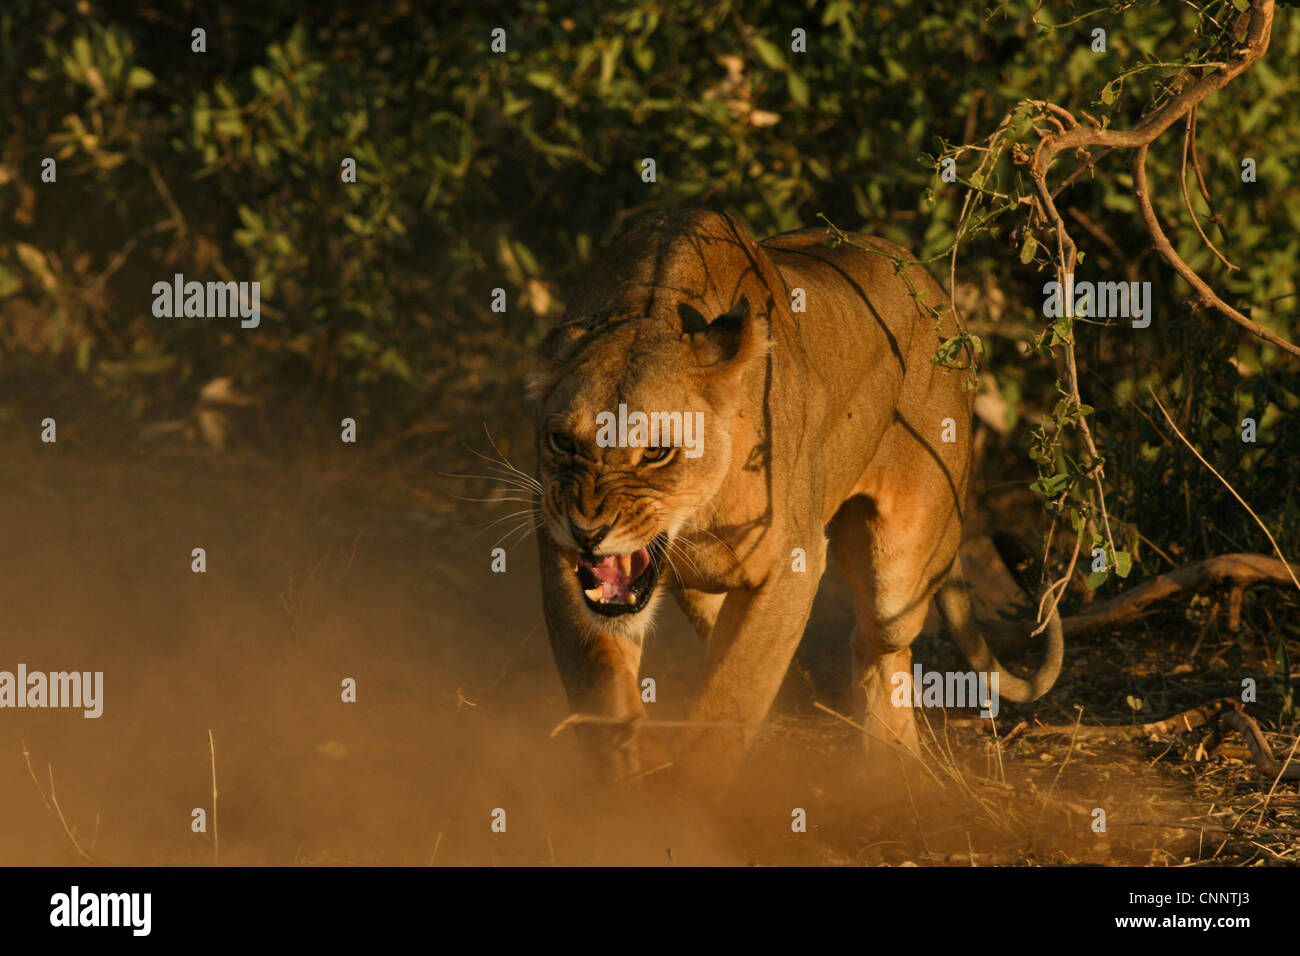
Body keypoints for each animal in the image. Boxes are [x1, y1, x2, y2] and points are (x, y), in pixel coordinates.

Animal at [528, 209, 1063, 789]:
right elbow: (601, 688)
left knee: (877, 642)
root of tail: (930, 284)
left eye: (656, 452)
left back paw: (892, 772)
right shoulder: (560, 560)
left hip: (901, 567)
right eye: (562, 442)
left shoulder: (792, 564)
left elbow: (733, 692)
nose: (586, 532)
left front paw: (687, 797)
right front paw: (630, 782)